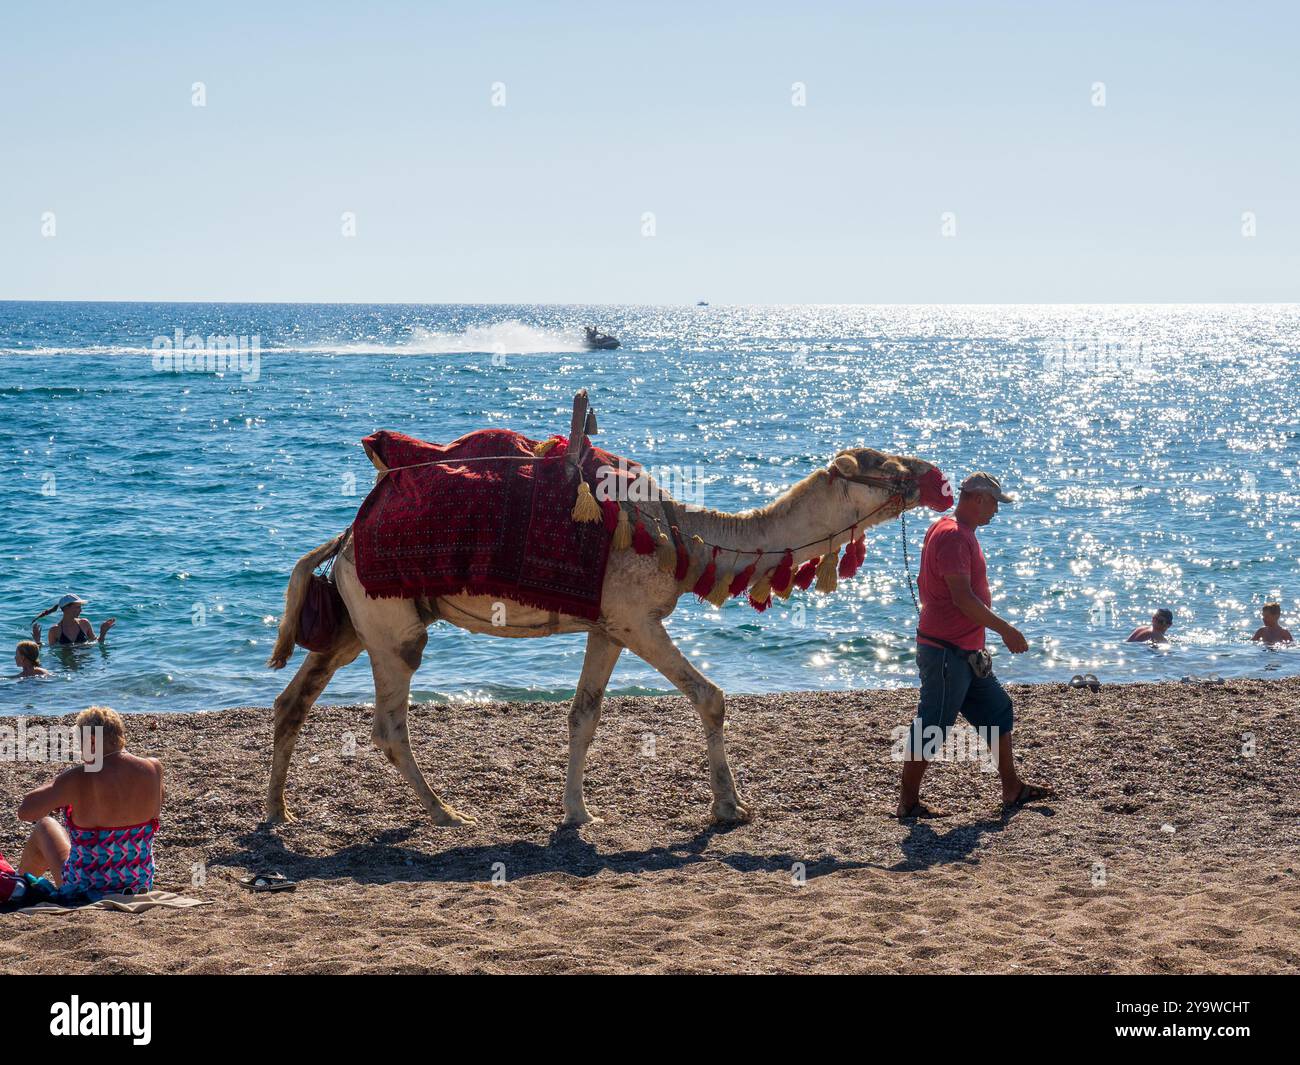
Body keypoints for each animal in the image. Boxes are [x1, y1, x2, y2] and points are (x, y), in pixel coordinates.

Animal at [265, 430, 947, 829]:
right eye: (881, 464)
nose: (935, 475)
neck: (686, 538)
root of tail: (346, 539)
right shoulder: (636, 619)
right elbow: (711, 698)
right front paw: (729, 807)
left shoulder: (608, 627)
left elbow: (583, 715)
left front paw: (575, 813)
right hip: (391, 629)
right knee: (387, 725)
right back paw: (449, 814)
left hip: (354, 626)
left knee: (291, 701)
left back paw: (277, 813)